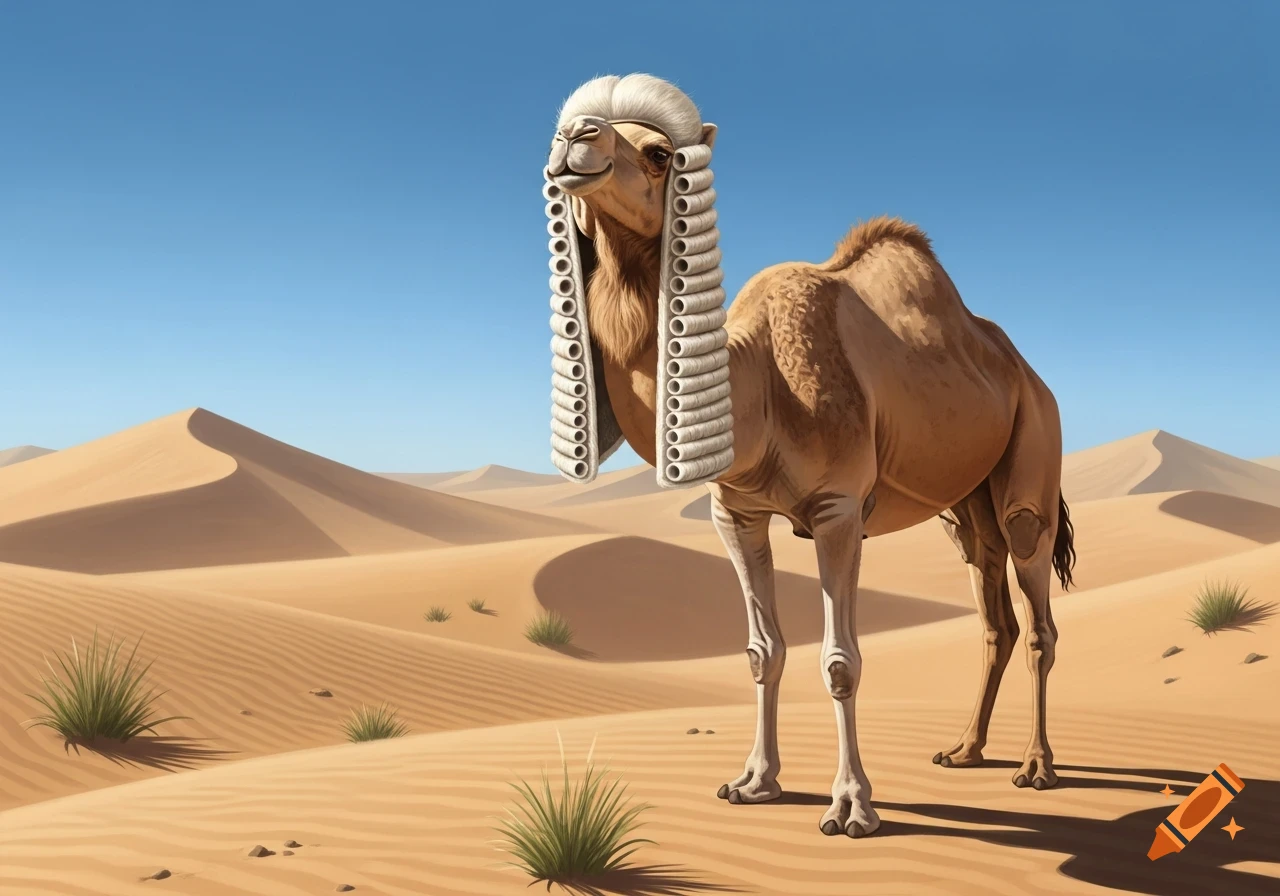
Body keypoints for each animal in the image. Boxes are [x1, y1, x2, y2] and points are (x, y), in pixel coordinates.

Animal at [543, 73, 1077, 838]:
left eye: (658, 153)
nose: (573, 138)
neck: (759, 381)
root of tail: (1028, 375)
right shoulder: (735, 512)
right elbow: (762, 651)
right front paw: (754, 782)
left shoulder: (838, 509)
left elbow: (841, 661)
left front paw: (853, 806)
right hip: (964, 509)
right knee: (993, 614)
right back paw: (965, 749)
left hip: (1032, 462)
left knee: (1037, 618)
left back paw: (1037, 767)